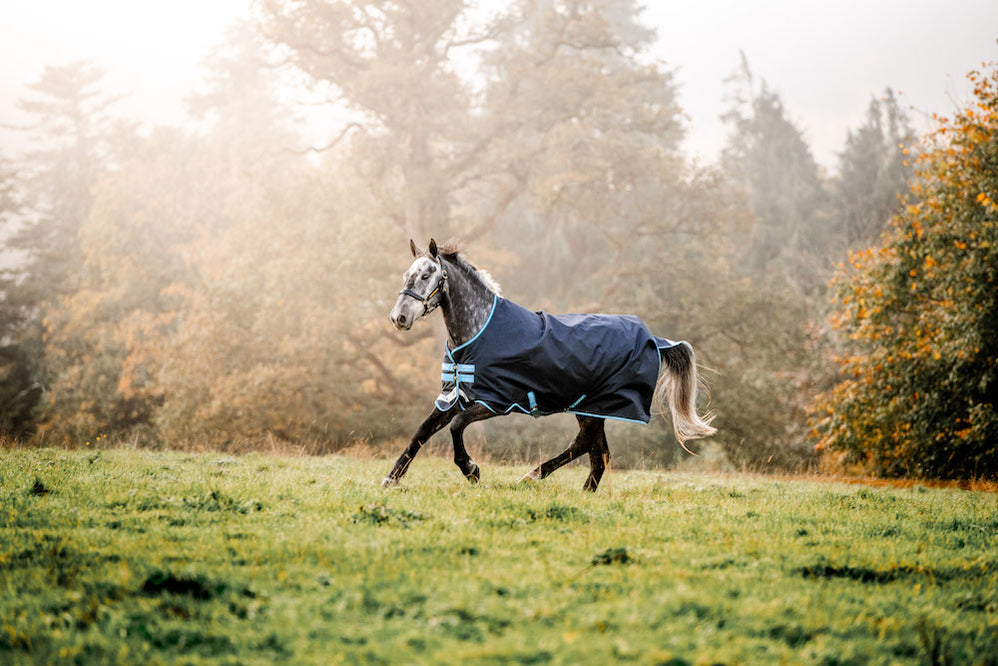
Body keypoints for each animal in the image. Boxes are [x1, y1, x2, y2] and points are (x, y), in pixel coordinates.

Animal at [384, 238, 716, 491]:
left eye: (427, 275)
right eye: (405, 274)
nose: (399, 317)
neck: (478, 331)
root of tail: (653, 339)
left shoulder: (495, 402)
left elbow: (455, 428)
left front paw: (472, 470)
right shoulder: (454, 396)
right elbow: (422, 431)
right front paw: (391, 478)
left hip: (595, 407)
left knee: (589, 448)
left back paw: (534, 477)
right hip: (590, 408)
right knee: (596, 452)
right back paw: (576, 490)